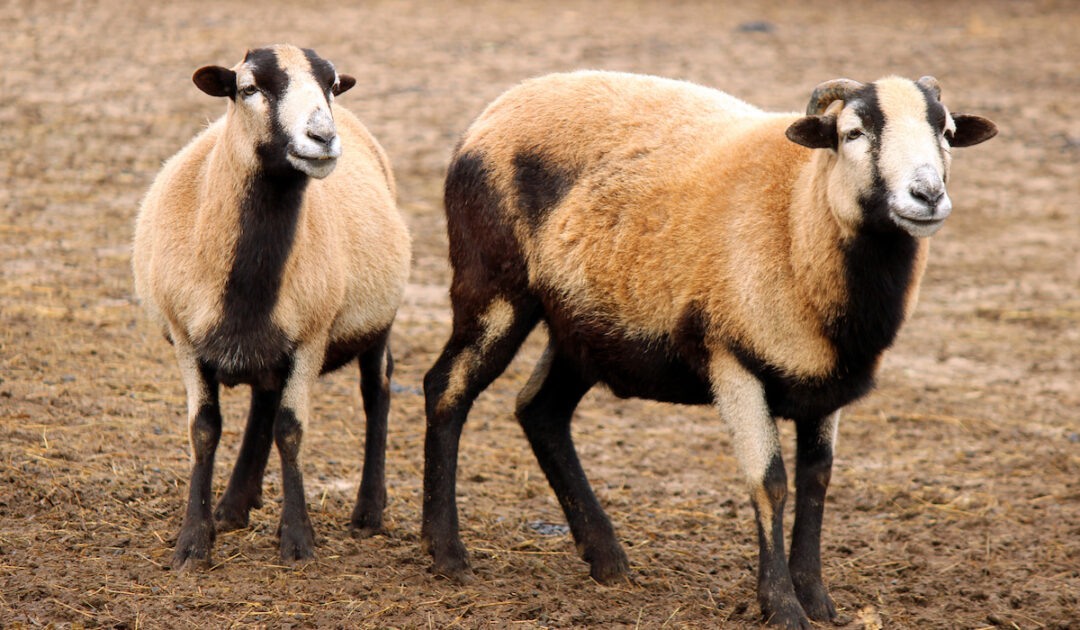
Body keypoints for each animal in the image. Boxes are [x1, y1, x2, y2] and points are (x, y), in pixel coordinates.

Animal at [132, 44, 411, 570]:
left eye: (331, 85)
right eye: (248, 88)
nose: (322, 137)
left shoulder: (311, 338)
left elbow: (291, 430)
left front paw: (297, 539)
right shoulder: (185, 338)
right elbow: (204, 431)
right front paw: (194, 541)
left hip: (377, 321)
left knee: (377, 391)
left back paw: (368, 512)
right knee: (263, 399)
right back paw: (233, 505)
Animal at [420, 71, 996, 628]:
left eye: (947, 133)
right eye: (852, 133)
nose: (927, 196)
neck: (797, 217)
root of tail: (491, 113)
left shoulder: (825, 380)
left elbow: (817, 481)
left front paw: (817, 600)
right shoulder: (731, 358)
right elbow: (770, 483)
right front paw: (782, 608)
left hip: (582, 326)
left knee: (540, 411)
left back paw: (606, 558)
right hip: (493, 286)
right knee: (446, 388)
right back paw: (447, 554)